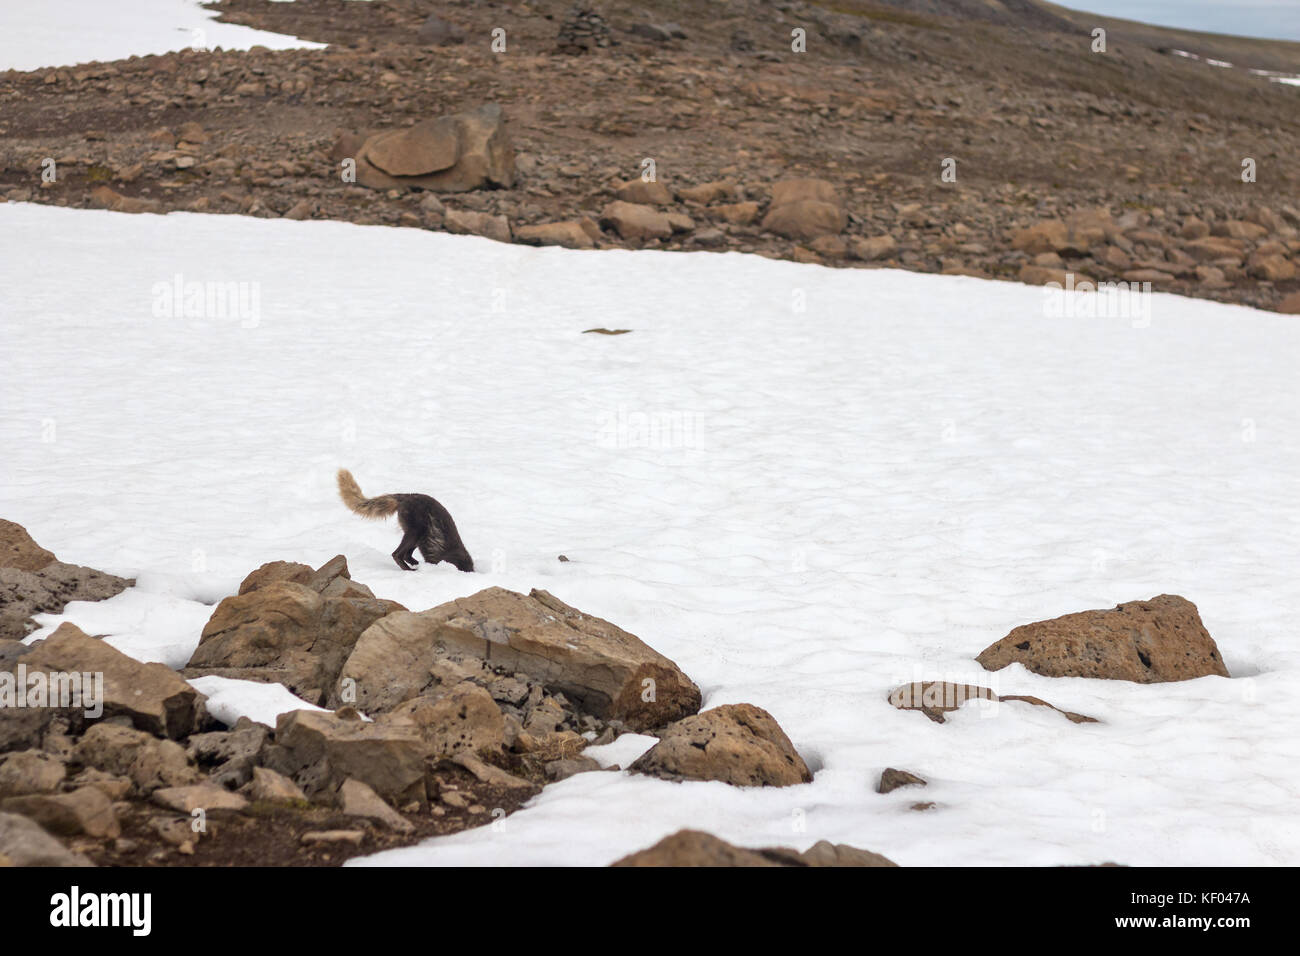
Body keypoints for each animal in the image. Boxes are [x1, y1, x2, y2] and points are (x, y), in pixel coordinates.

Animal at [336, 468, 474, 572]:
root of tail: (408, 496)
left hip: (416, 536)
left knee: (407, 555)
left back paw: (415, 565)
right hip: (415, 532)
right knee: (396, 554)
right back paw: (409, 569)